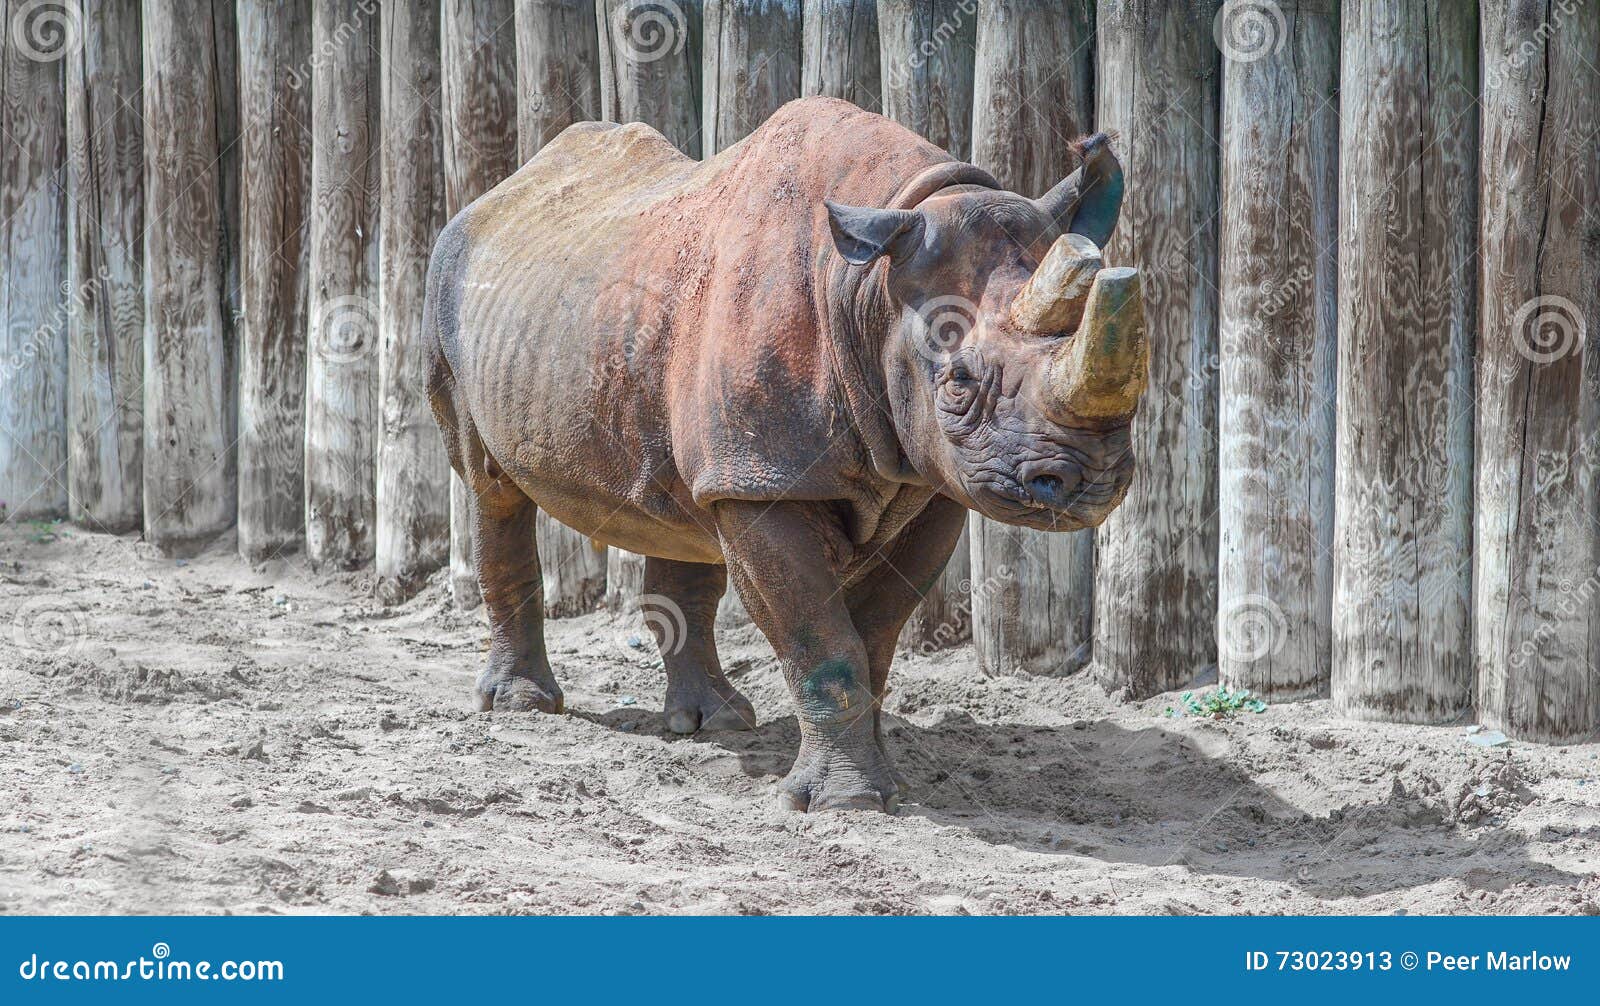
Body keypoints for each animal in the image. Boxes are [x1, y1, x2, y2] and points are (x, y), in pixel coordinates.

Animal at [425, 97, 1146, 813]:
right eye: (961, 382)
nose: (1089, 482)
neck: (868, 289)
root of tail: (502, 190)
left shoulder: (929, 480)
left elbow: (874, 634)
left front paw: (882, 780)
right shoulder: (763, 481)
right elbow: (820, 638)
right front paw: (845, 802)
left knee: (680, 509)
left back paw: (713, 722)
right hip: (452, 283)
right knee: (491, 488)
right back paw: (522, 706)